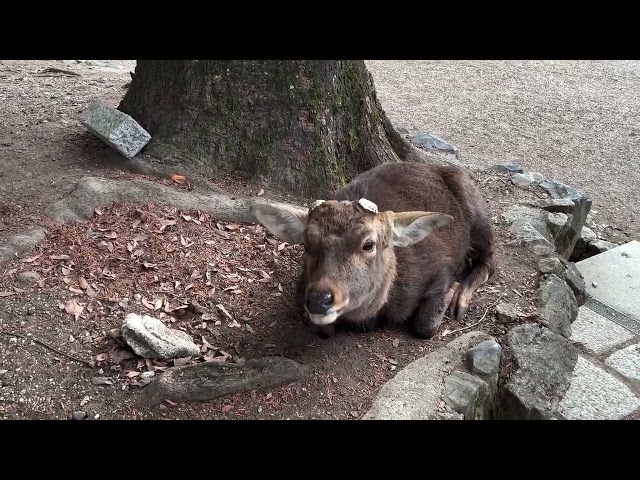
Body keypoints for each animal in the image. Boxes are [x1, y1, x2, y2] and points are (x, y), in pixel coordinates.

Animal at [250, 161, 496, 339]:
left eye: (369, 244)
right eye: (306, 243)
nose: (319, 300)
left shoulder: (441, 268)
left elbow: (426, 325)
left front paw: (453, 290)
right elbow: (321, 328)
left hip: (476, 209)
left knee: (490, 260)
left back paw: (461, 299)